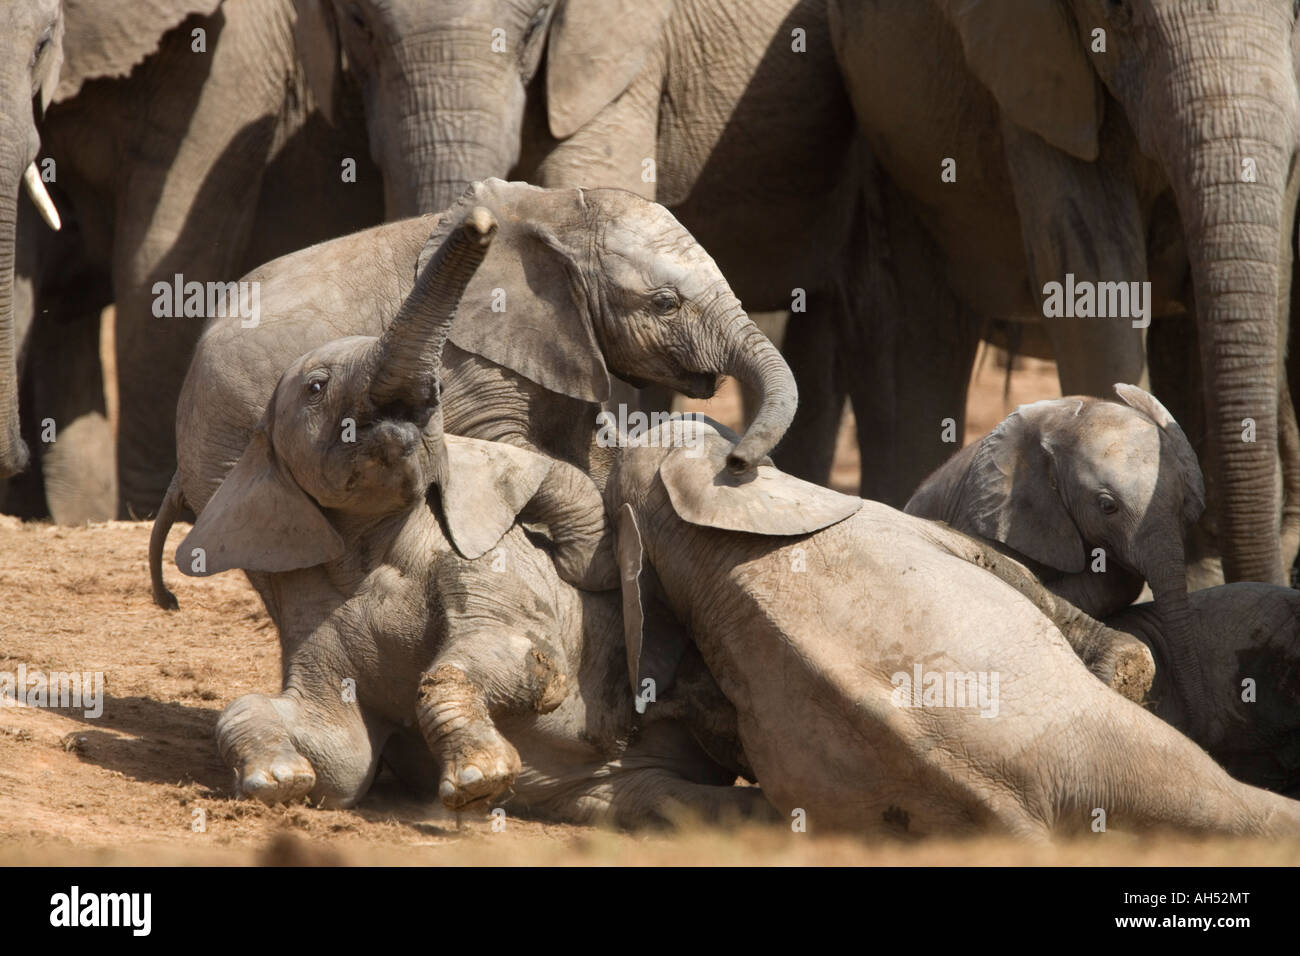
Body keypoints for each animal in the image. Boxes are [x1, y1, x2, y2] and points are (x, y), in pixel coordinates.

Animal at [149, 179, 796, 611]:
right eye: (665, 303)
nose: (739, 462)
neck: (557, 210)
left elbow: (584, 451)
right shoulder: (469, 359)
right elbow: (519, 451)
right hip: (226, 452)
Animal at [173, 206, 766, 823]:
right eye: (316, 387)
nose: (740, 460)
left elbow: (515, 655)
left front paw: (478, 781)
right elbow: (337, 758)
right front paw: (276, 778)